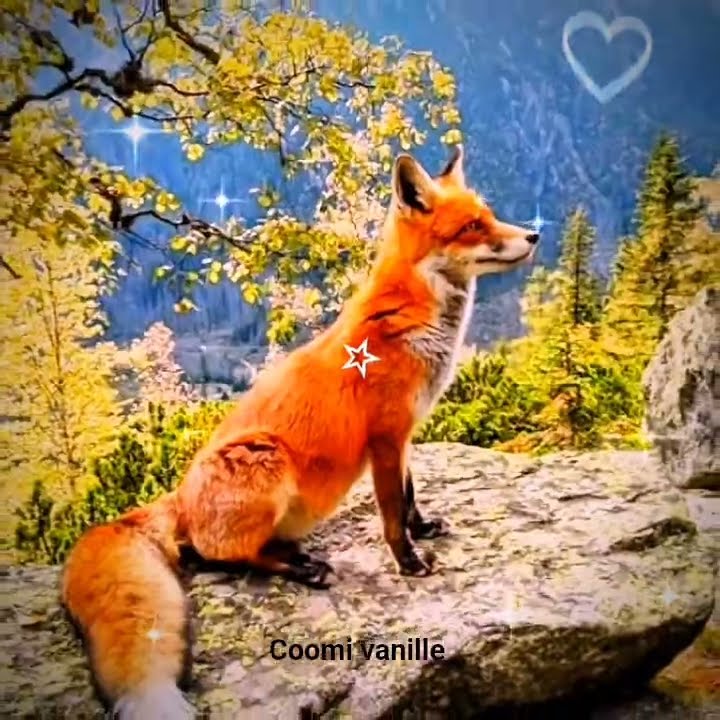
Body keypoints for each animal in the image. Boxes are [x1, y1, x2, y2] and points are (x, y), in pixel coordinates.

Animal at [61, 144, 539, 719]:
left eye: (488, 216)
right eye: (472, 226)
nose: (534, 236)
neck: (413, 321)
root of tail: (178, 495)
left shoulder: (405, 437)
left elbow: (410, 497)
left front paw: (424, 530)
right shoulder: (385, 437)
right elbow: (390, 515)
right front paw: (409, 562)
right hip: (265, 457)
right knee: (210, 554)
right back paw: (300, 567)